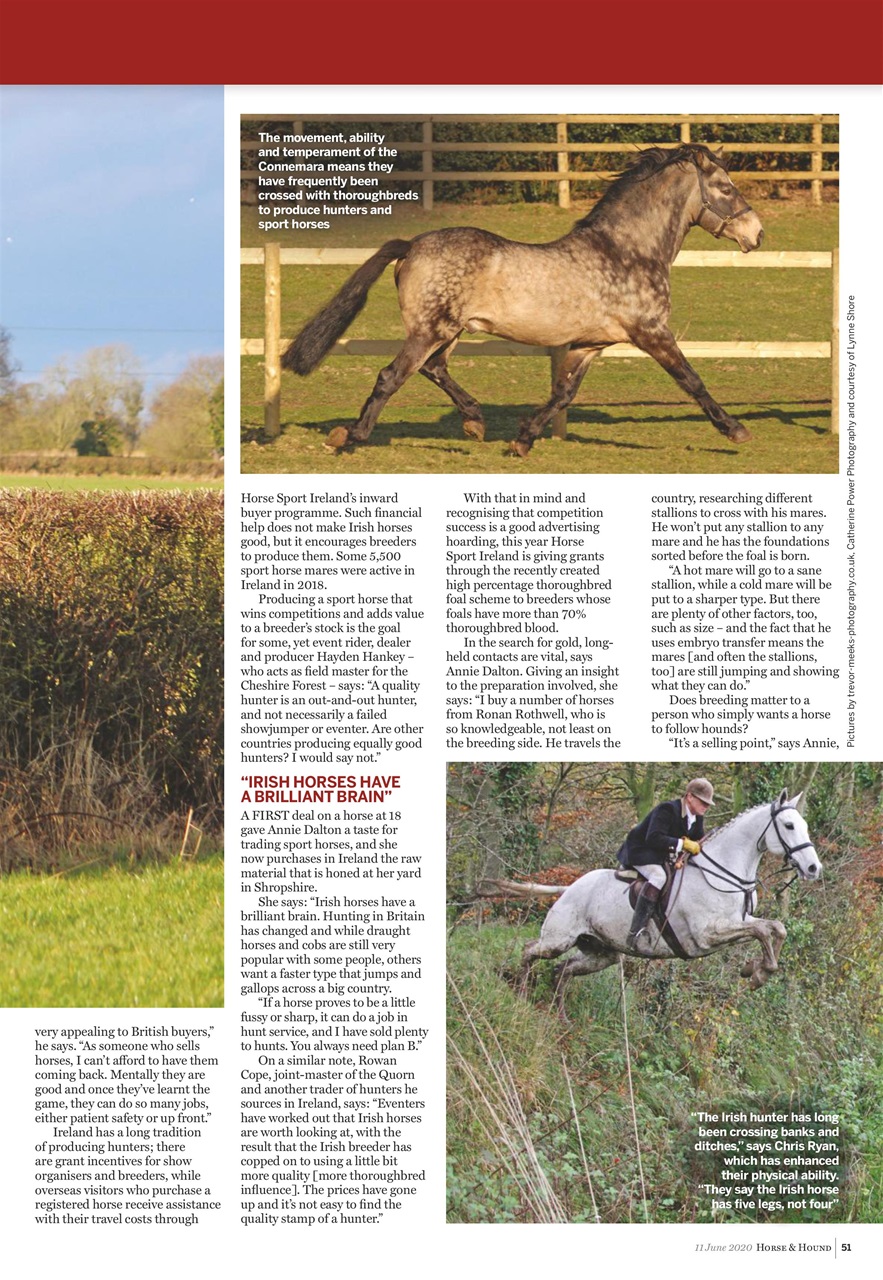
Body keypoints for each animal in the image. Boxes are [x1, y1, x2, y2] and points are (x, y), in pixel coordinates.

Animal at [283, 143, 764, 455]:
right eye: (724, 187)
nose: (757, 234)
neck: (626, 251)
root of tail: (413, 244)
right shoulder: (652, 333)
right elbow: (692, 380)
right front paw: (735, 430)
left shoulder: (590, 344)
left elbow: (562, 394)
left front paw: (522, 439)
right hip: (430, 330)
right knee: (392, 375)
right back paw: (350, 437)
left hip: (448, 331)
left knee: (434, 369)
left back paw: (475, 422)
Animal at [516, 791, 820, 1011]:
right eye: (789, 825)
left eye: (805, 826)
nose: (813, 868)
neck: (724, 872)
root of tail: (569, 888)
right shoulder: (707, 935)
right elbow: (762, 931)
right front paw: (758, 974)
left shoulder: (735, 923)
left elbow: (774, 928)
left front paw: (757, 970)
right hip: (559, 939)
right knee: (531, 949)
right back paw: (521, 987)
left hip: (601, 953)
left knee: (563, 969)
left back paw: (559, 1012)